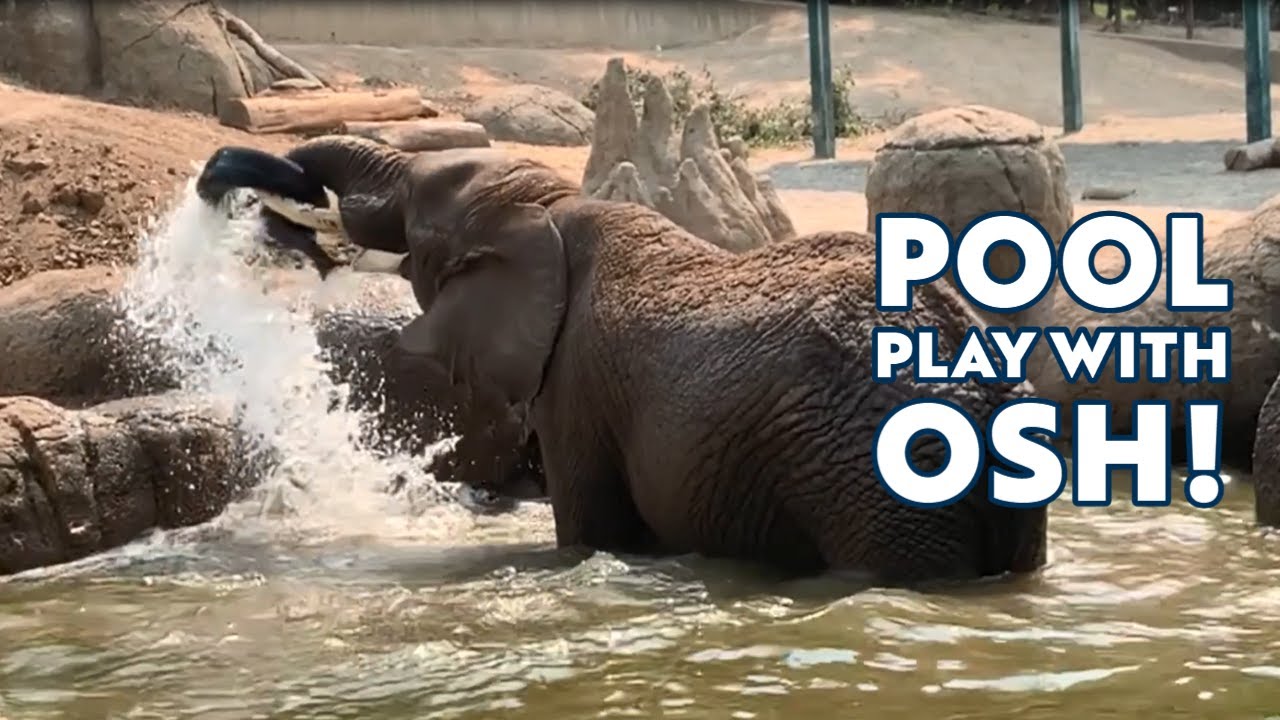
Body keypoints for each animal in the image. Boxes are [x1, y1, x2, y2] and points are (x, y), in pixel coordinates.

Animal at [196, 136, 1047, 584]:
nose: (222, 179)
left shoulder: (574, 388)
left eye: (423, 222)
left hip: (874, 481)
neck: (554, 209)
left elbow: (589, 531)